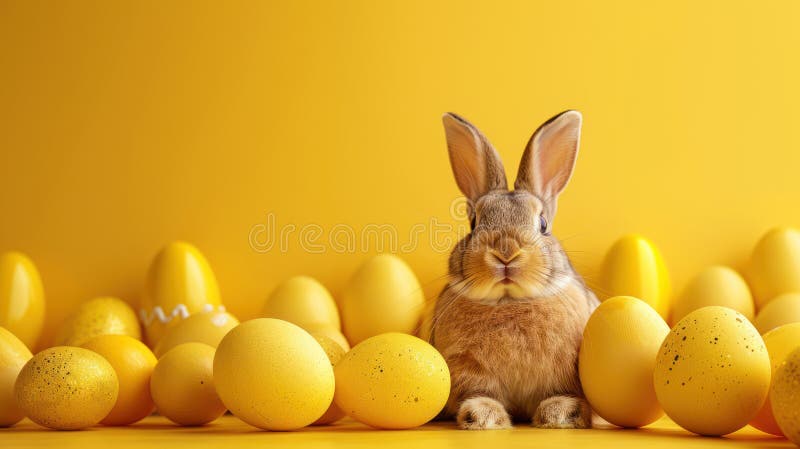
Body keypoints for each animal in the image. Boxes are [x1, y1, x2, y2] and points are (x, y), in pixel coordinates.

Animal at [430, 110, 599, 430]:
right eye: (474, 223)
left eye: (543, 224)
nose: (506, 253)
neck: (509, 300)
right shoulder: (470, 374)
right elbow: (480, 394)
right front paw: (482, 416)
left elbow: (563, 395)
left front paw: (561, 414)